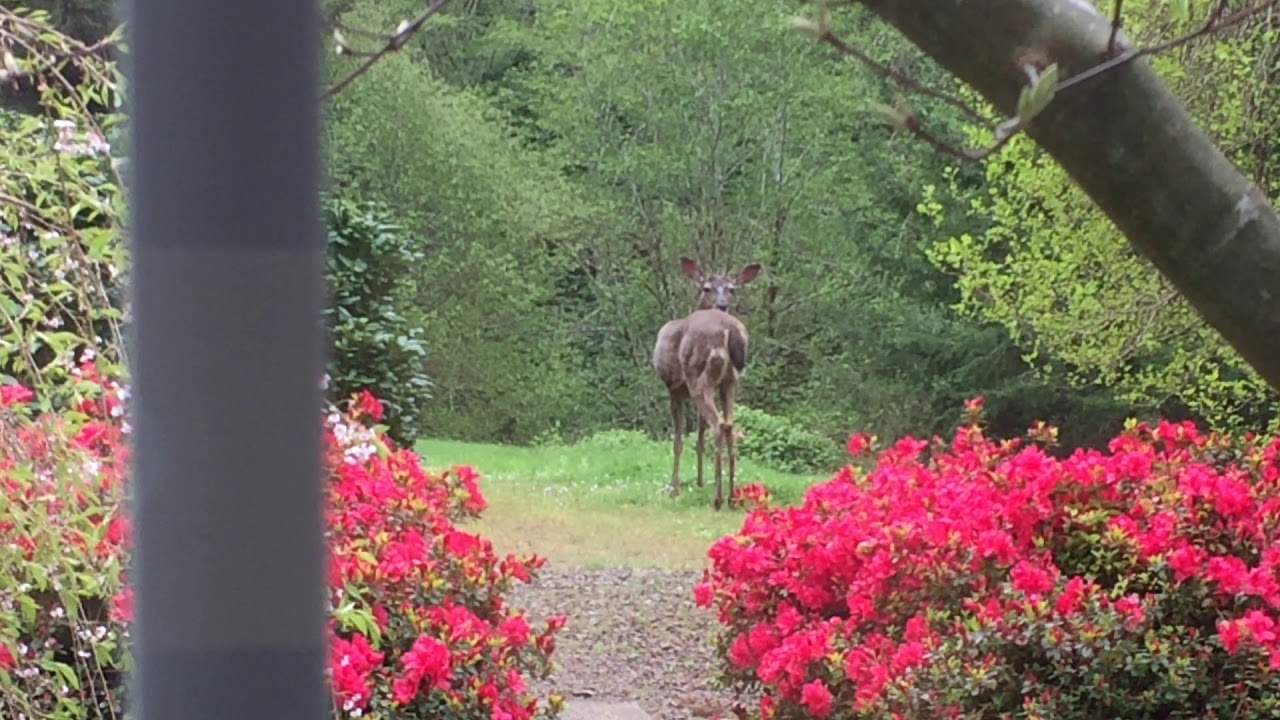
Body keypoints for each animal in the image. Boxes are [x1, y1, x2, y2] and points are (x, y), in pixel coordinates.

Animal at [652, 256, 761, 510]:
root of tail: (730, 330)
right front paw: (701, 481)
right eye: (707, 288)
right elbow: (699, 437)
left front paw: (675, 488)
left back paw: (718, 499)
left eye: (731, 289)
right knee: (729, 424)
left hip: (699, 377)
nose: (722, 304)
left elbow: (679, 438)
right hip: (730, 381)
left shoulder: (674, 388)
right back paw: (732, 497)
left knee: (718, 424)